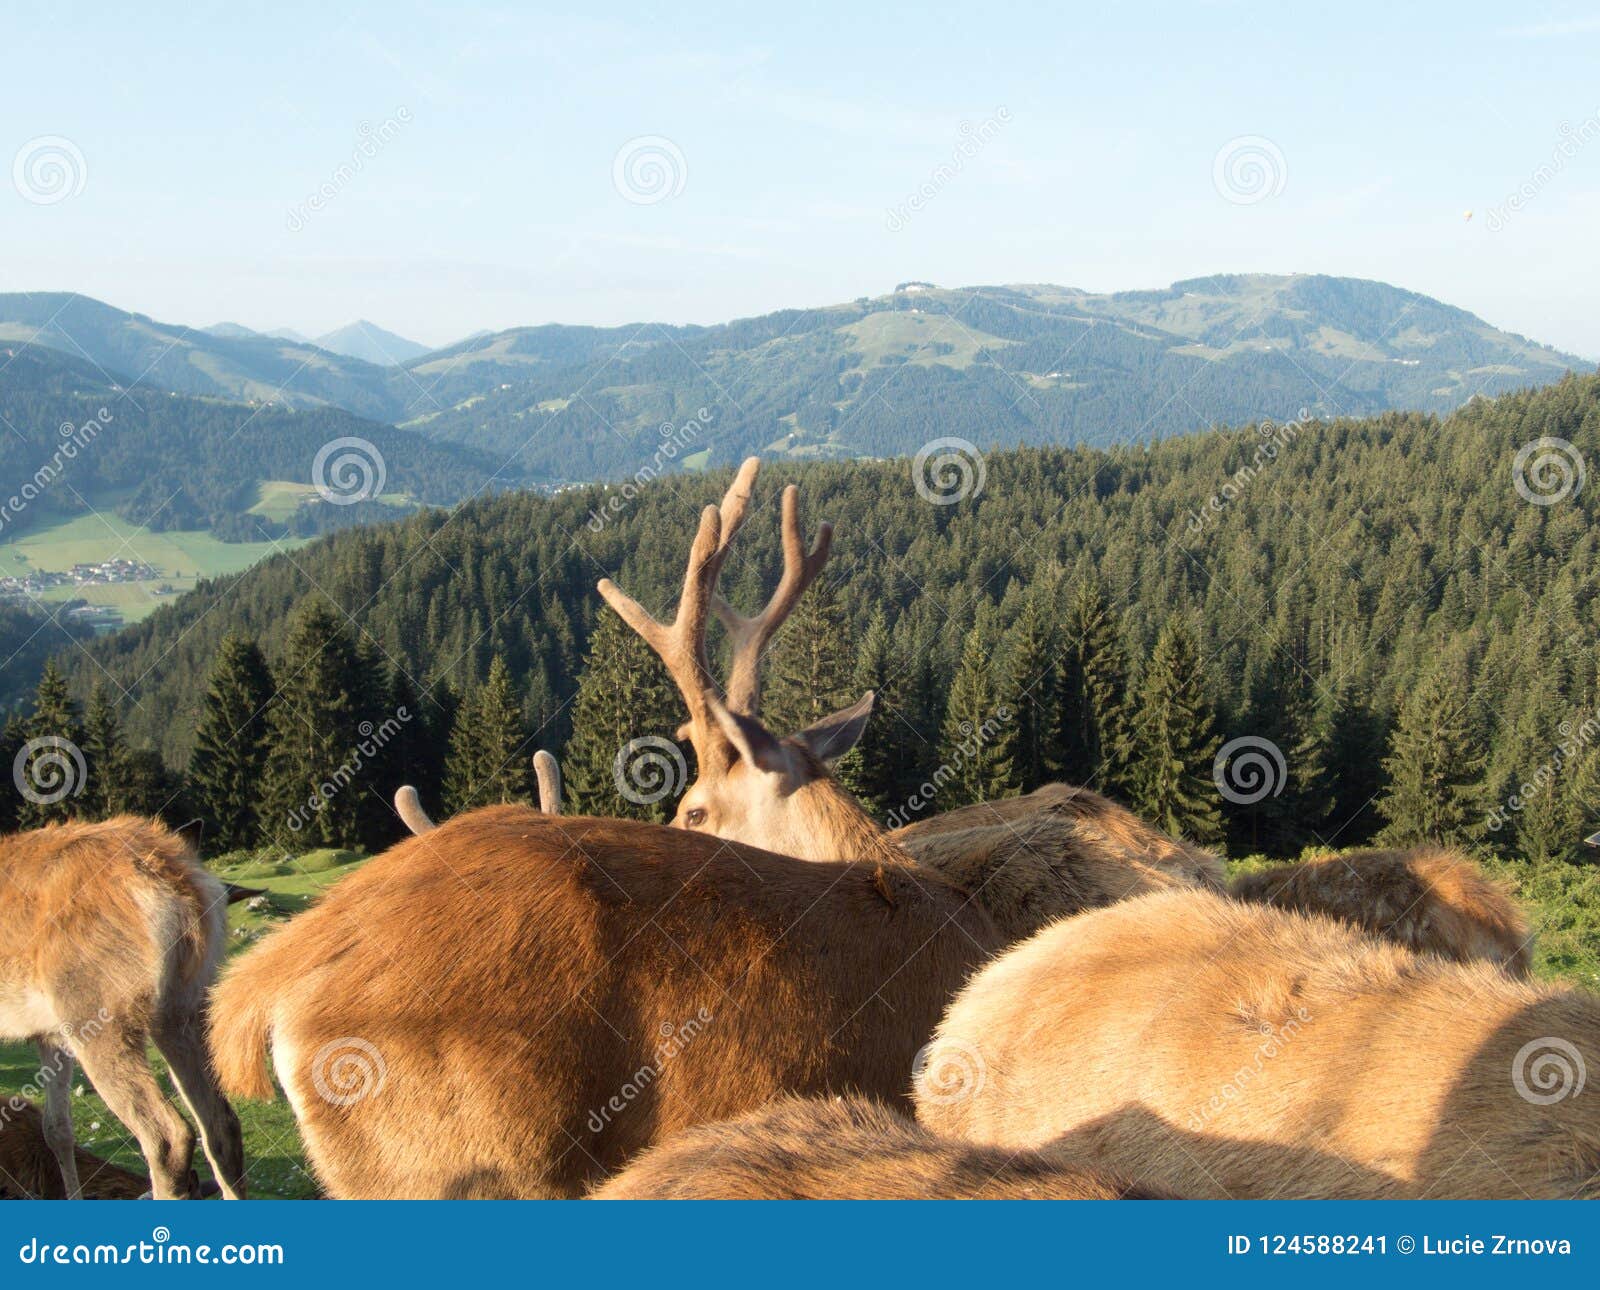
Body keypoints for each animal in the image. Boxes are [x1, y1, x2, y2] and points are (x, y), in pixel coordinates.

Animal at [0, 816, 246, 1200]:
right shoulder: (49, 1034)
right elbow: (56, 1128)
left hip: (95, 1013)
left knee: (167, 1136)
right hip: (188, 1004)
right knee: (223, 1126)